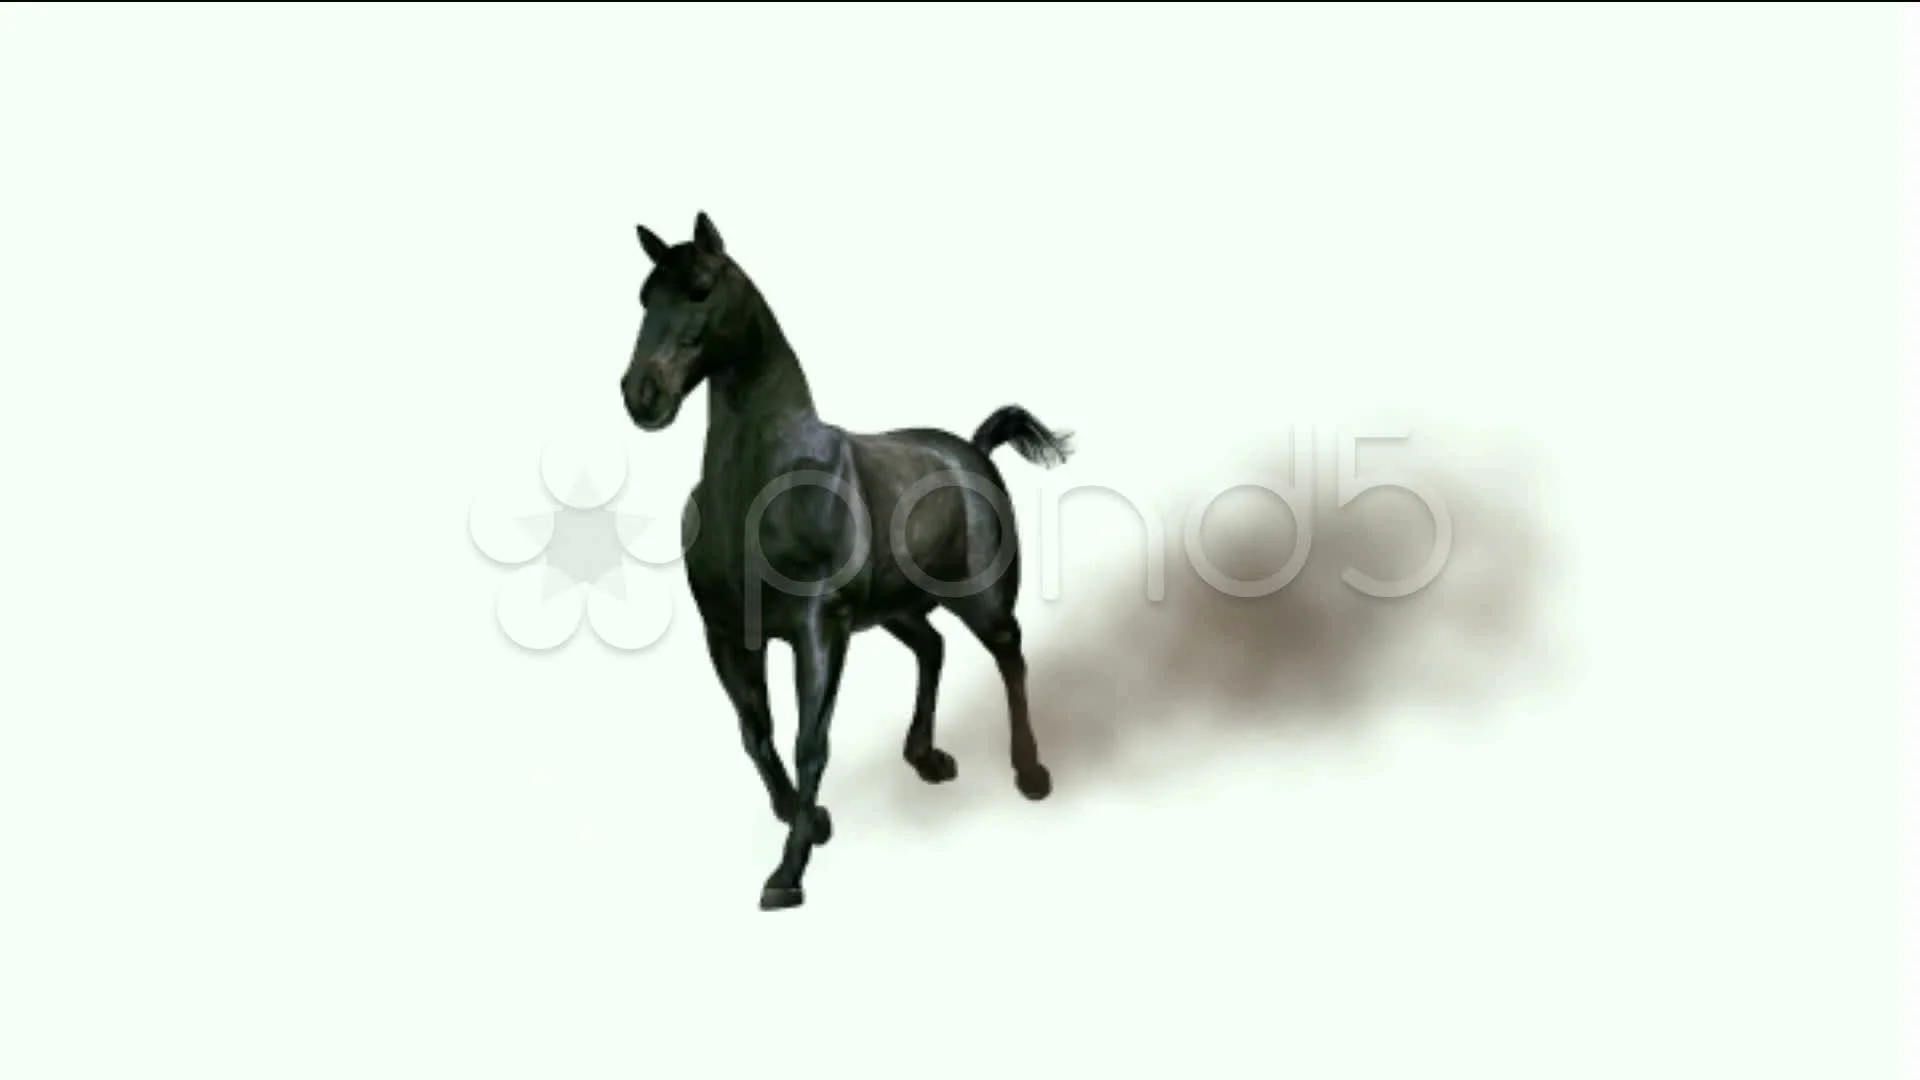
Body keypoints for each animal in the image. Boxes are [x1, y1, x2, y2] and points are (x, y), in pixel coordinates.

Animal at [619, 212, 1073, 910]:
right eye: (645, 298)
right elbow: (756, 734)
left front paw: (787, 875)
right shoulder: (727, 635)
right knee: (933, 649)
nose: (642, 395)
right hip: (895, 612)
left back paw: (1030, 774)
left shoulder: (817, 629)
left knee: (1011, 660)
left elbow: (811, 741)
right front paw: (810, 821)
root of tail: (971, 450)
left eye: (699, 289)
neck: (760, 483)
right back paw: (926, 758)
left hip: (984, 602)